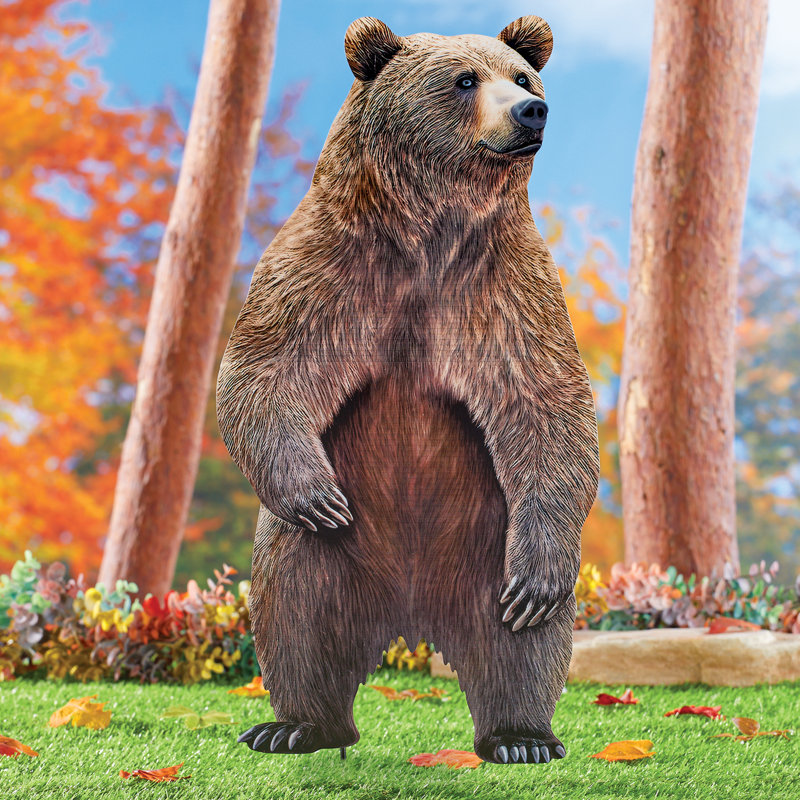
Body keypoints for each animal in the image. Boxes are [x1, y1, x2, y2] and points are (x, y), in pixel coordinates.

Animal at [216, 15, 599, 765]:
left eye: (523, 77)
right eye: (464, 79)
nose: (531, 112)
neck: (430, 236)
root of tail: (411, 615)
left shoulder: (506, 290)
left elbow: (549, 404)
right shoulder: (329, 266)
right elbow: (264, 364)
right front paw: (316, 495)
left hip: (487, 542)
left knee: (521, 641)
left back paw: (521, 736)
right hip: (323, 559)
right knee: (295, 615)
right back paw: (295, 725)